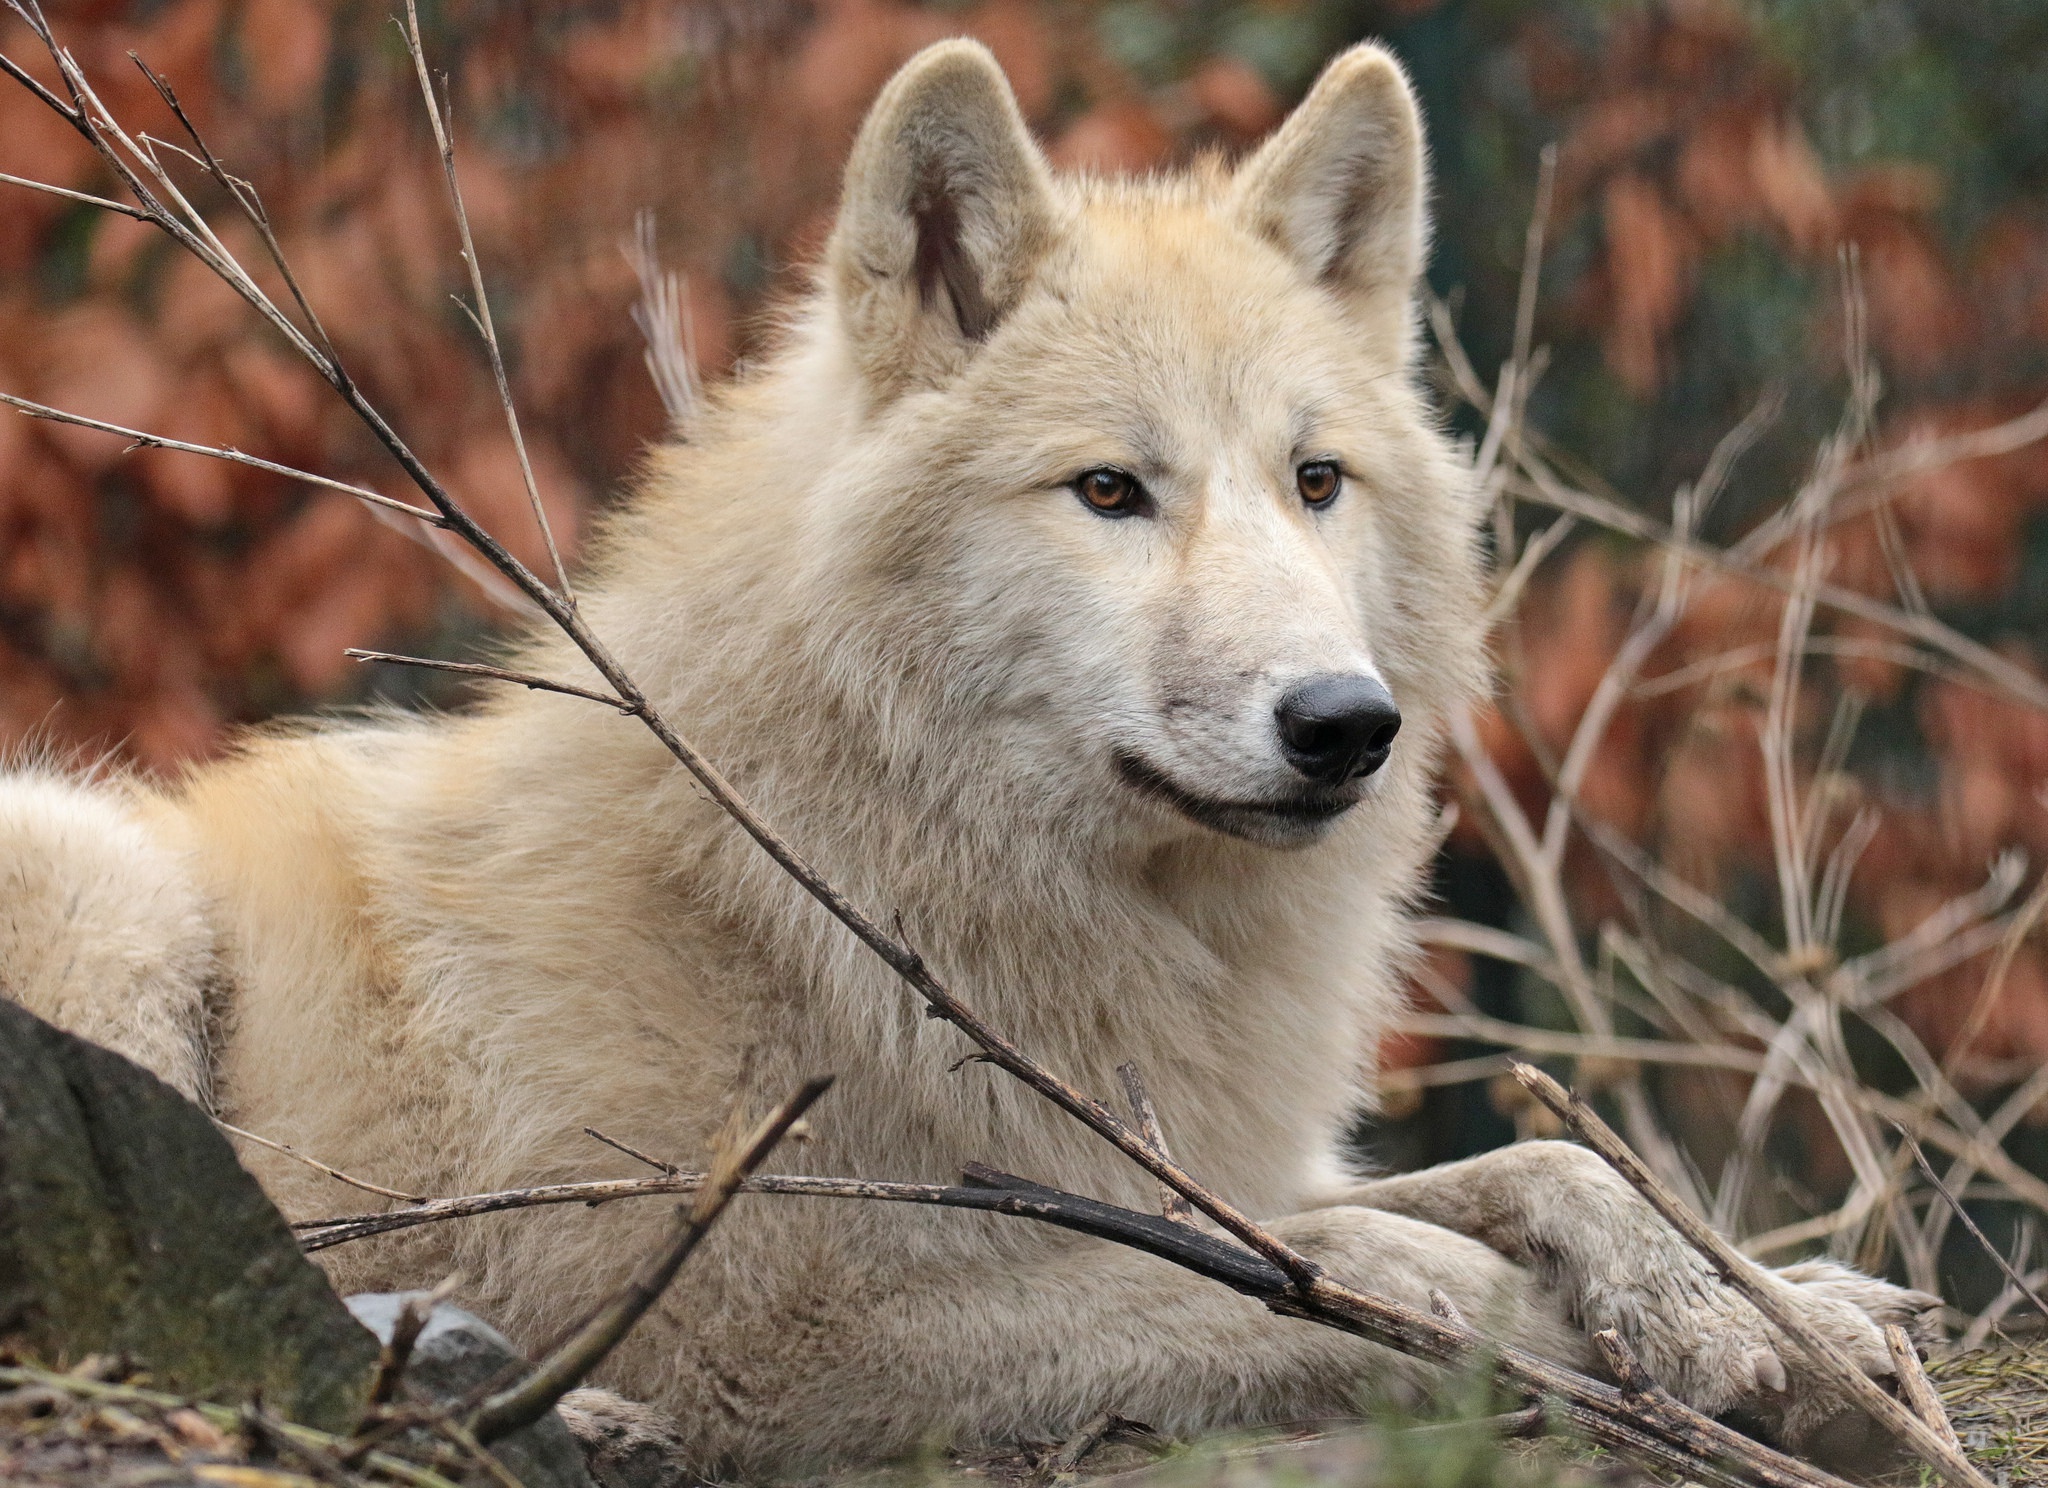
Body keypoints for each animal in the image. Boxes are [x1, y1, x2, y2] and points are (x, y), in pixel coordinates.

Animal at [1, 38, 1932, 1477]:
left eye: (1315, 480)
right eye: (1109, 490)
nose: (1343, 725)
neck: (843, 881)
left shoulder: (1186, 1160)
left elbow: (1540, 1176)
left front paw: (1780, 1314)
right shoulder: (807, 1327)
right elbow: (1405, 1286)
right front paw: (1661, 1336)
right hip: (106, 889)